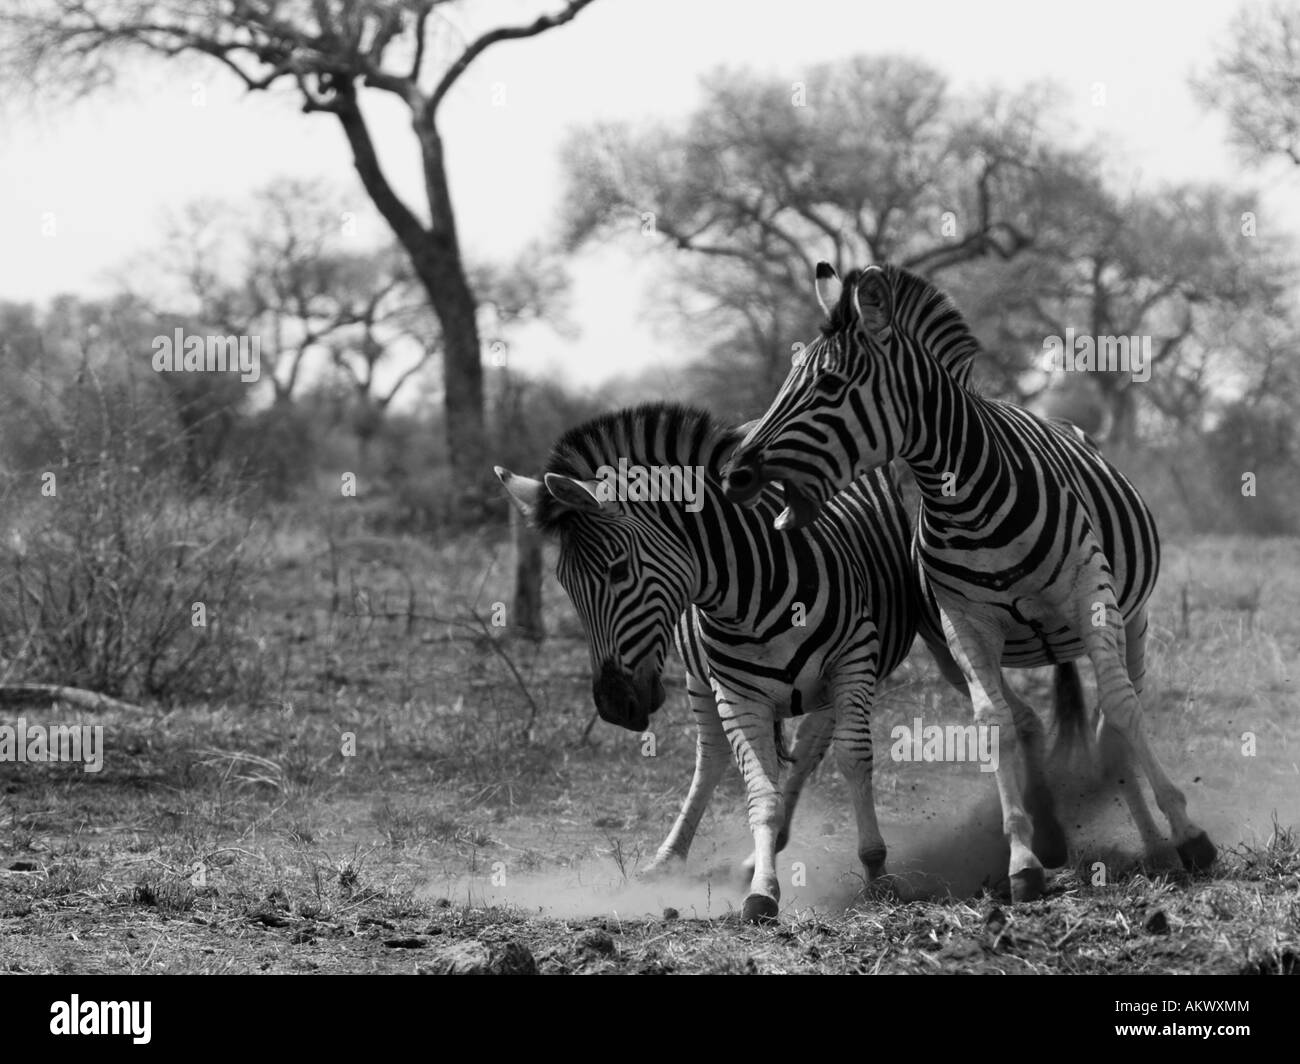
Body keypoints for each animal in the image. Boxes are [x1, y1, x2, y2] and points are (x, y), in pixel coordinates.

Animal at [496, 402, 1082, 922]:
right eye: (564, 584)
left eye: (618, 570)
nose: (614, 705)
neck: (747, 593)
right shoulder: (735, 690)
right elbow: (760, 787)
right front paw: (762, 890)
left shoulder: (853, 662)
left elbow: (853, 760)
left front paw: (877, 873)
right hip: (700, 679)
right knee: (717, 760)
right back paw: (677, 857)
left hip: (931, 643)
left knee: (1007, 717)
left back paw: (1049, 834)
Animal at [721, 261, 1216, 901]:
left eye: (829, 385)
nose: (734, 473)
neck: (967, 496)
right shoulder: (964, 624)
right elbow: (994, 724)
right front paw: (1023, 860)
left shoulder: (1092, 595)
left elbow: (1123, 710)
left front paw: (1188, 833)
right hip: (952, 655)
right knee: (1031, 718)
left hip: (1133, 617)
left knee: (1116, 715)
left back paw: (1157, 843)